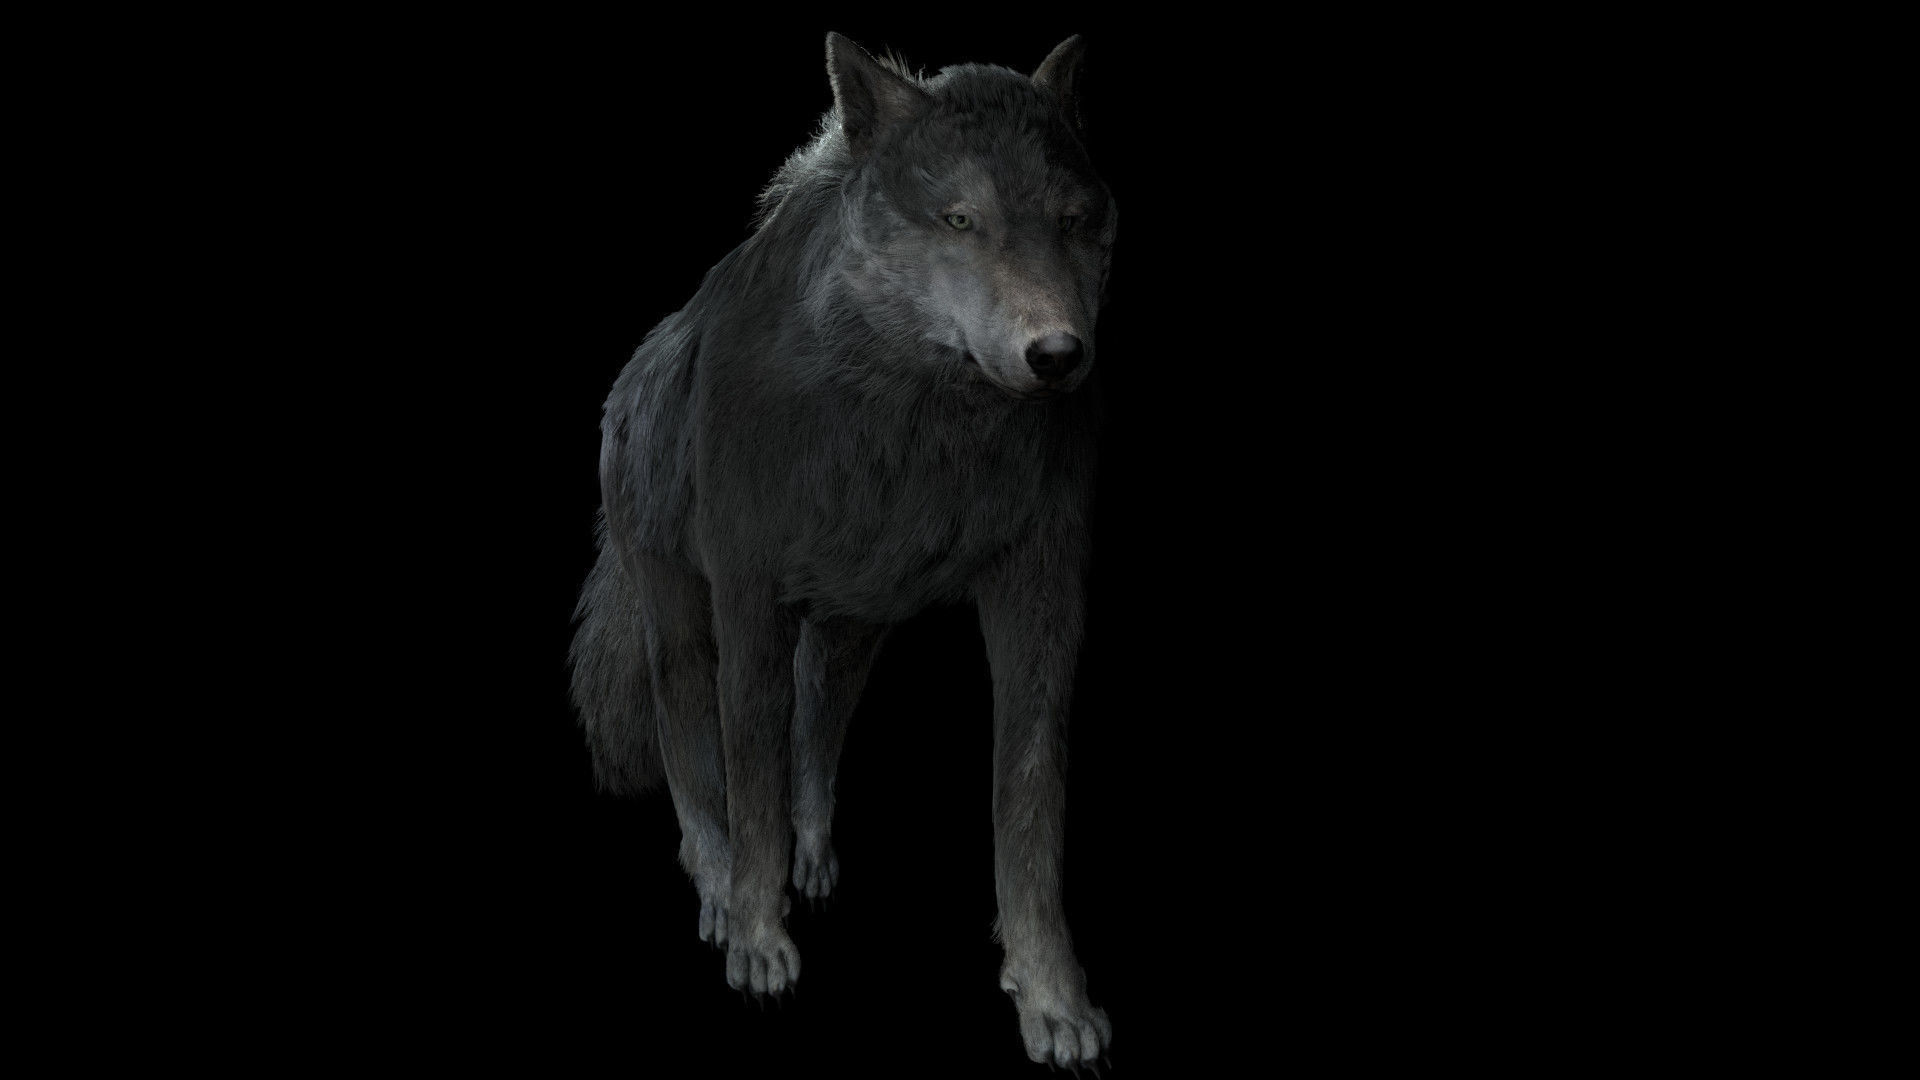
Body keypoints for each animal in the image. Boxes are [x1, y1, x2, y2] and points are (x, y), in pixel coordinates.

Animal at [568, 33, 1115, 1067]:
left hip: (847, 634)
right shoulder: (748, 599)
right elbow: (749, 774)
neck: (911, 421)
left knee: (815, 736)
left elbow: (1029, 802)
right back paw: (716, 890)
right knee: (691, 749)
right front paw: (757, 939)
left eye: (1071, 222)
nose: (1058, 356)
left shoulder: (1042, 592)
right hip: (682, 620)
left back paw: (814, 858)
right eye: (961, 218)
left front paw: (1051, 998)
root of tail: (631, 375)